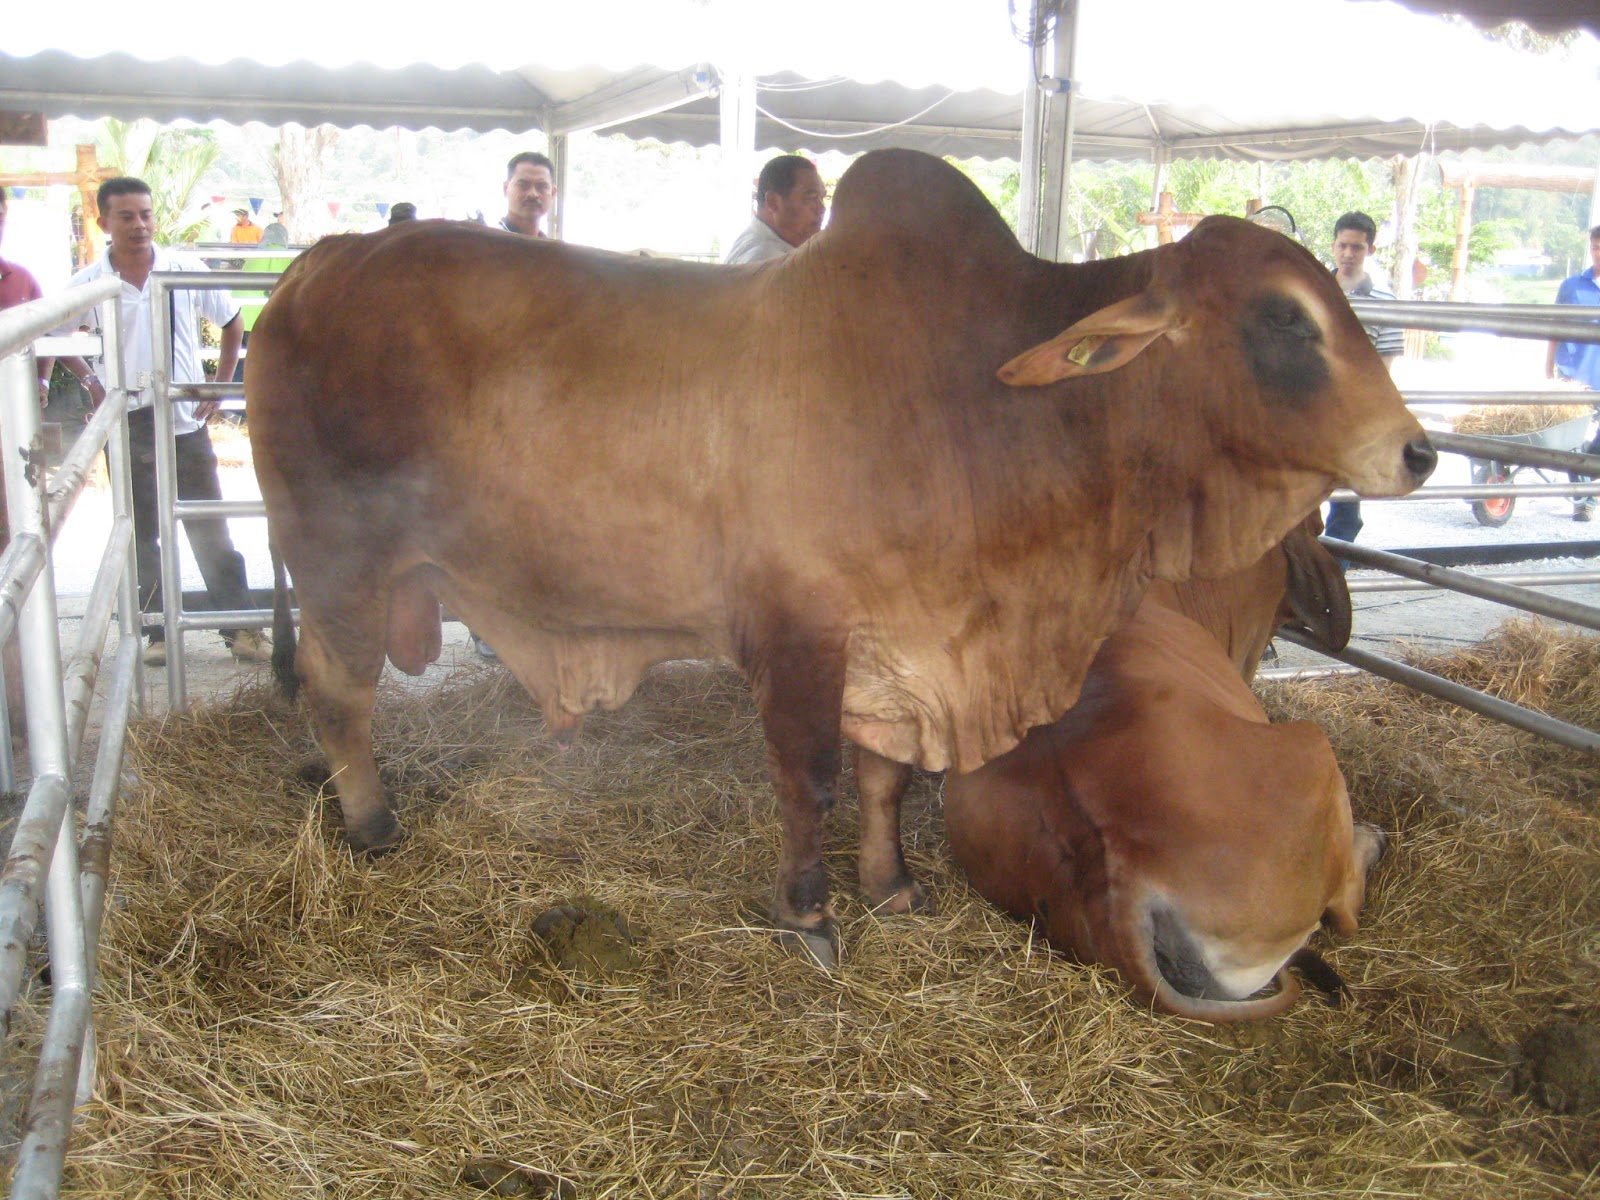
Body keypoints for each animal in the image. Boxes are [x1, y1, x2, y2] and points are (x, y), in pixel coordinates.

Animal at [246, 148, 1432, 964]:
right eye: (1282, 319)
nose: (1417, 451)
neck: (979, 406)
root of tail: (315, 265)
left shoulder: (900, 642)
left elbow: (883, 778)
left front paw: (891, 884)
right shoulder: (799, 635)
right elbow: (808, 777)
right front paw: (810, 913)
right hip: (338, 563)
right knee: (339, 691)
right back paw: (372, 822)